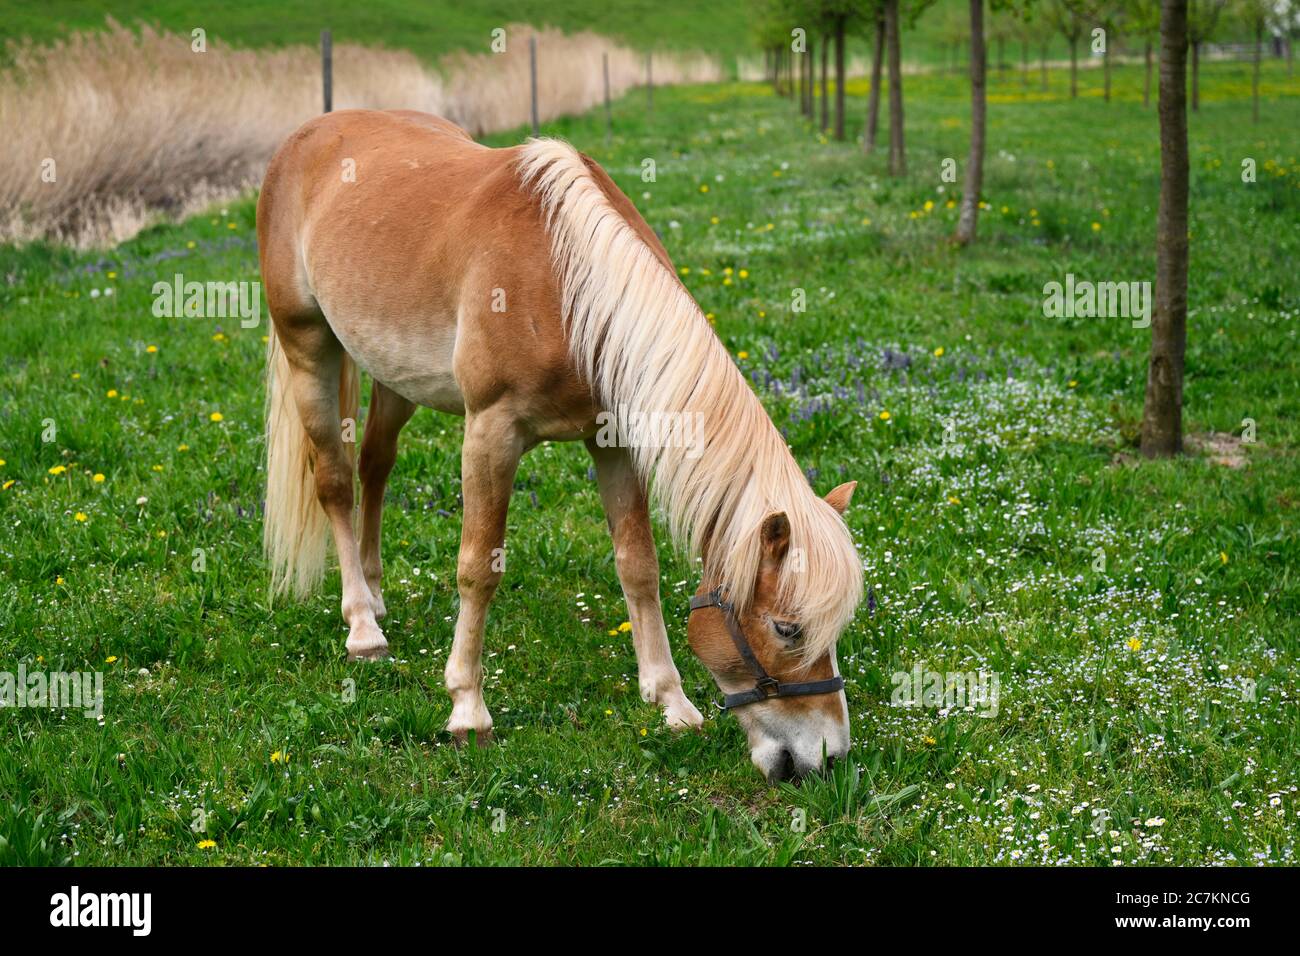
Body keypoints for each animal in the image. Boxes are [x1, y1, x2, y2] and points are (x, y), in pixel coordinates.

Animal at [256, 109, 864, 781]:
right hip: (309, 349)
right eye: (787, 629)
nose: (827, 758)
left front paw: (670, 700)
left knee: (375, 467)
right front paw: (467, 708)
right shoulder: (490, 434)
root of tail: (308, 135)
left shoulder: (613, 441)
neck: (565, 283)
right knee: (336, 481)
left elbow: (638, 566)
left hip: (393, 378)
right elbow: (478, 568)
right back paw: (362, 626)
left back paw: (374, 592)